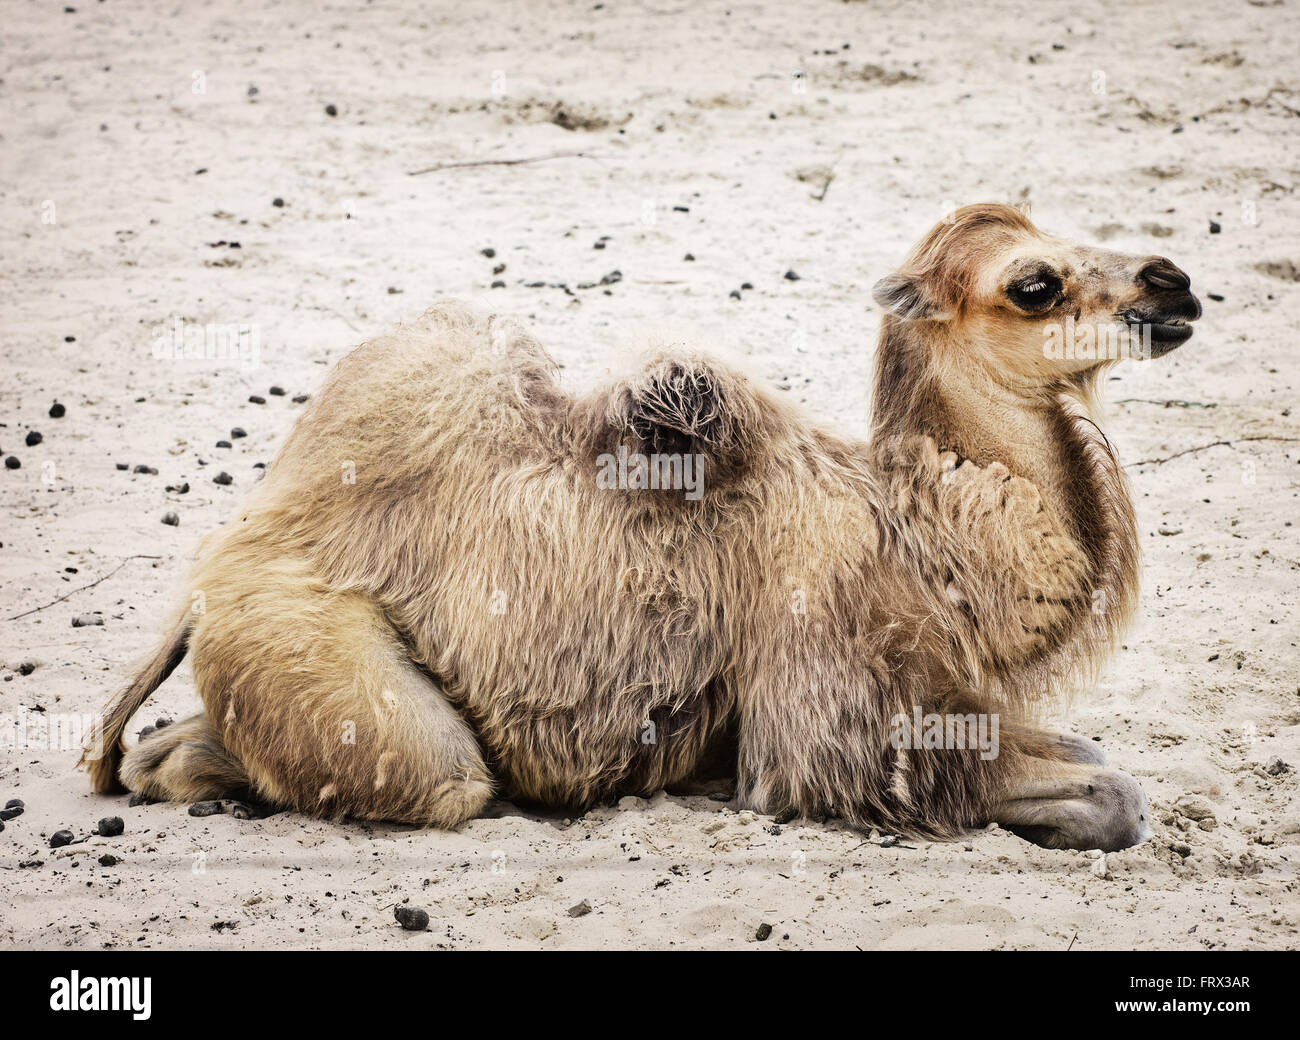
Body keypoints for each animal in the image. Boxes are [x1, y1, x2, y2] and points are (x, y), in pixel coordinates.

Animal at [82, 204, 1201, 851]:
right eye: (1033, 283)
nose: (1174, 281)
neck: (927, 535)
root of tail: (217, 568)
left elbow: (1094, 753)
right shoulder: (835, 709)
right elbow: (1108, 794)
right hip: (330, 661)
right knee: (426, 775)